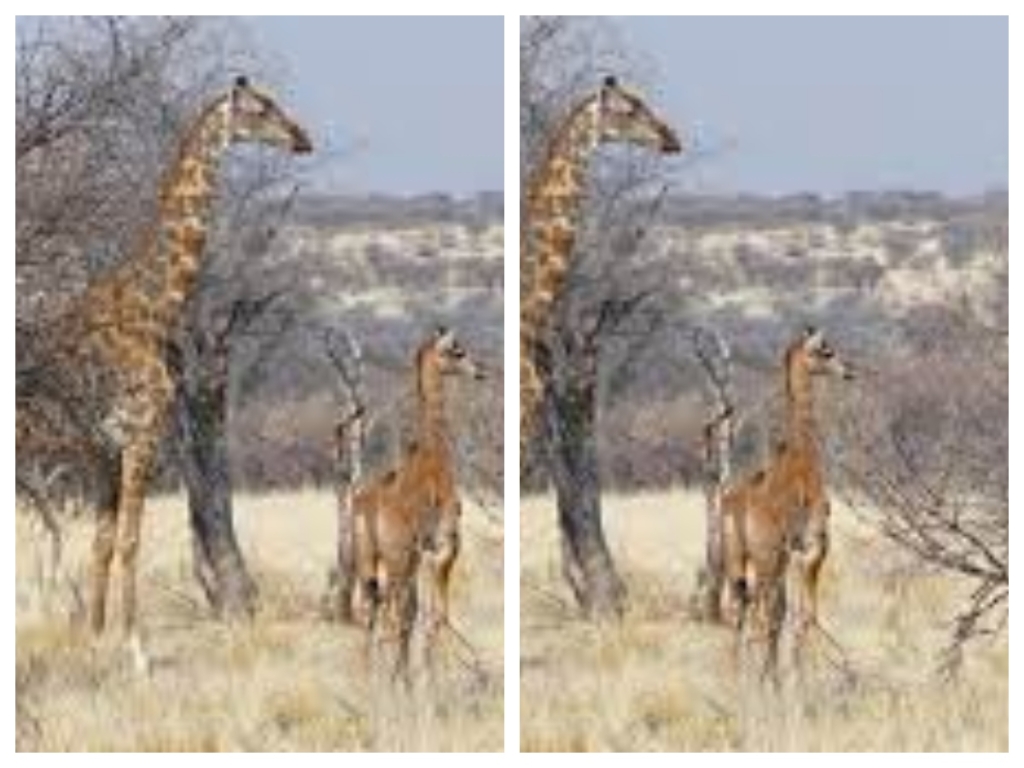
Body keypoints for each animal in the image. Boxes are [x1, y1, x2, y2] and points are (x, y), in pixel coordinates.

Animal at [17, 76, 311, 669]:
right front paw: (137, 652)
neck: (153, 307)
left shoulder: (103, 448)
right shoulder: (142, 435)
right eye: (259, 109)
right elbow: (130, 541)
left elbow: (103, 542)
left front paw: (95, 642)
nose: (303, 138)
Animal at [350, 327, 485, 683]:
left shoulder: (425, 551)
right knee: (395, 611)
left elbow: (425, 614)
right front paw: (435, 676)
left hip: (370, 558)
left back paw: (374, 678)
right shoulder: (445, 544)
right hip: (399, 558)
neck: (433, 452)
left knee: (372, 609)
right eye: (456, 350)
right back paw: (398, 678)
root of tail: (367, 510)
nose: (480, 371)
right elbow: (435, 614)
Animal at [719, 327, 854, 683]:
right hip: (768, 558)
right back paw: (766, 678)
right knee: (764, 612)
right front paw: (803, 678)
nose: (849, 370)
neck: (802, 452)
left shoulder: (793, 551)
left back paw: (742, 678)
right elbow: (804, 615)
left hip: (739, 557)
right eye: (825, 350)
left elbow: (794, 614)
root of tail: (735, 510)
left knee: (741, 609)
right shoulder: (813, 545)